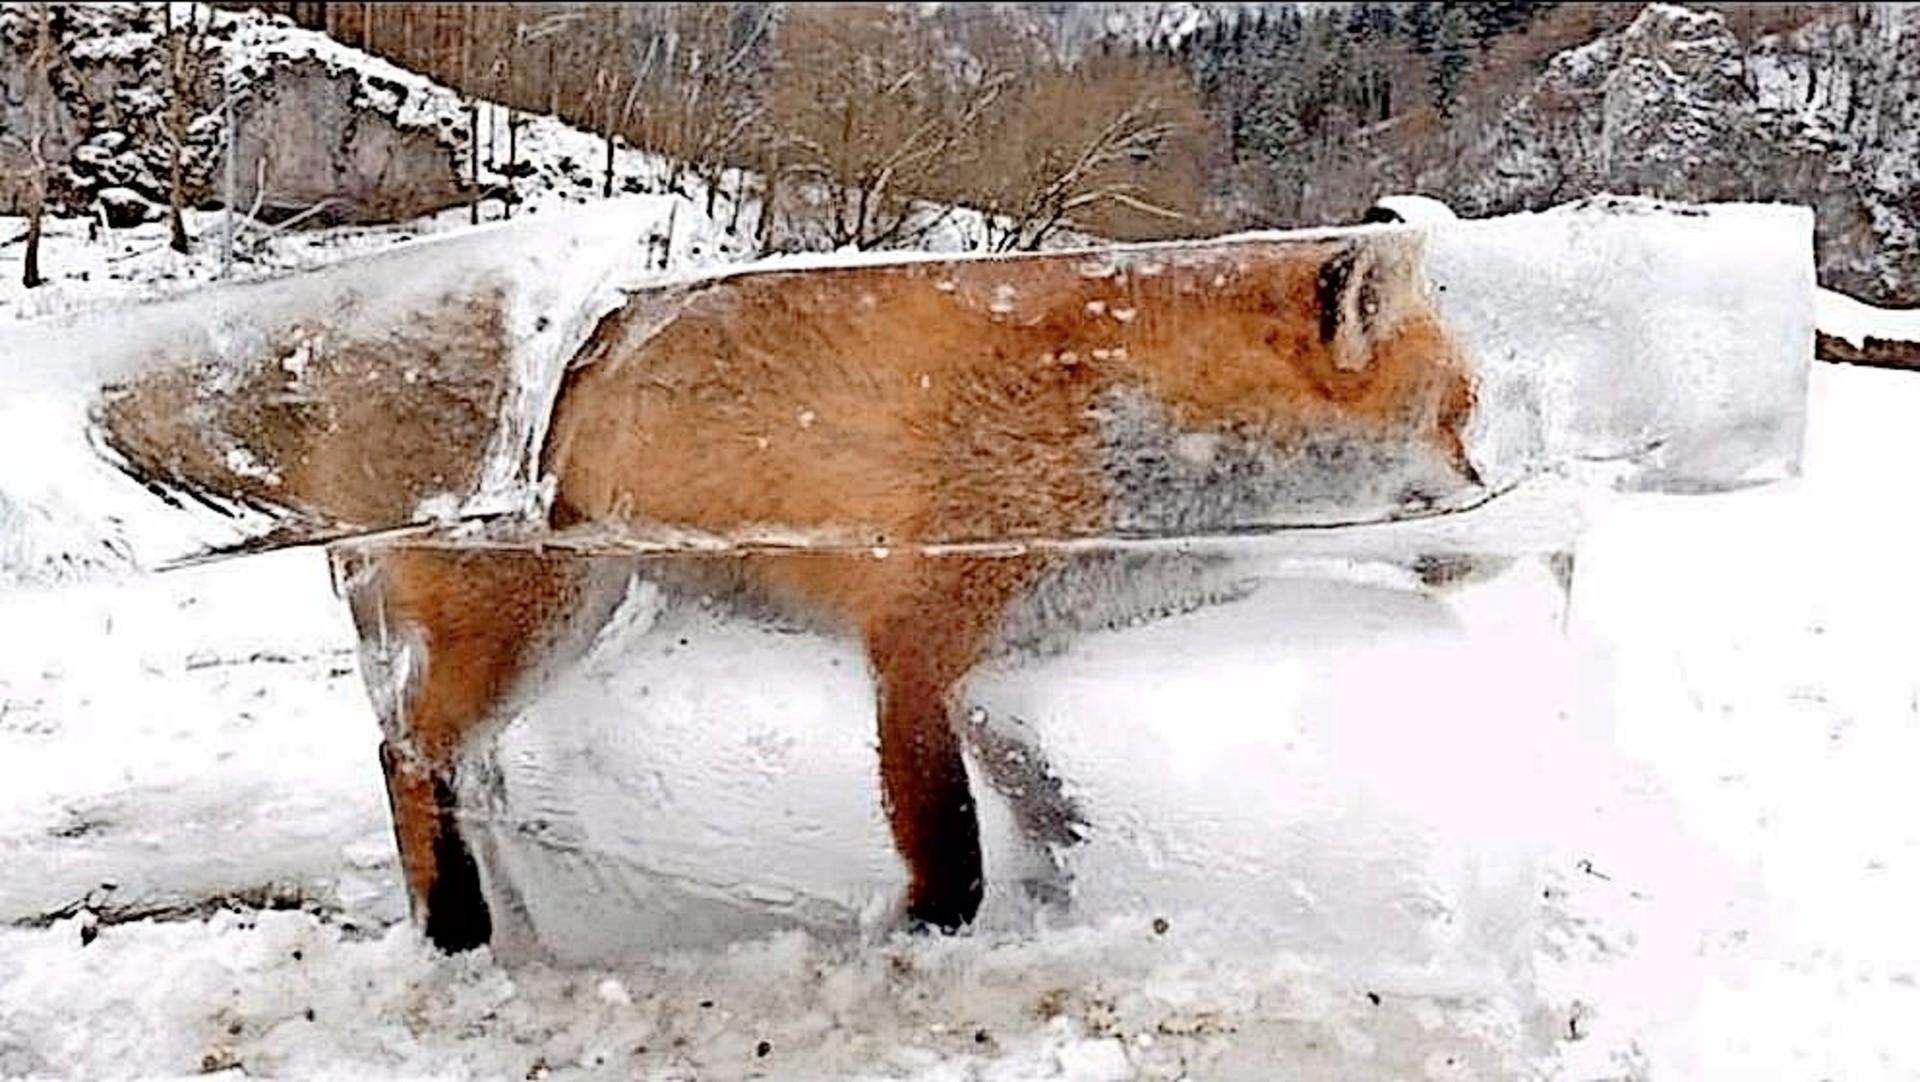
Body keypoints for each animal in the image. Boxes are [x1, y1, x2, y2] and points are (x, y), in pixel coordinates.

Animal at [101, 228, 1483, 952]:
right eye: (1460, 420)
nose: (1487, 505)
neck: (1107, 423)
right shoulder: (913, 639)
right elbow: (949, 839)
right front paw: (927, 932)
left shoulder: (995, 661)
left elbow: (1043, 797)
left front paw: (1064, 877)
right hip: (533, 616)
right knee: (406, 753)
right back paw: (458, 923)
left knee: (439, 750)